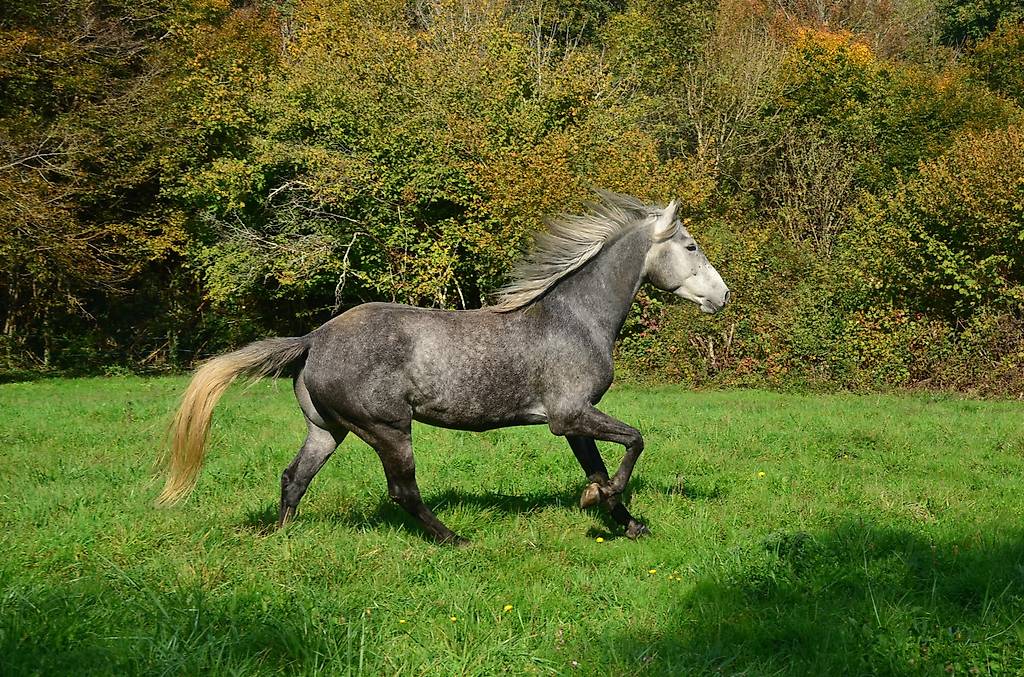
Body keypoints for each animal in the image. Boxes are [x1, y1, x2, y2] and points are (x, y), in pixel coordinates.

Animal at [157, 191, 730, 543]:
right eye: (690, 245)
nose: (723, 296)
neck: (576, 319)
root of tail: (314, 338)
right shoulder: (569, 414)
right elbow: (633, 442)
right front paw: (602, 501)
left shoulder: (572, 421)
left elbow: (599, 464)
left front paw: (624, 521)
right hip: (389, 427)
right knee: (402, 491)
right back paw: (455, 539)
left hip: (327, 429)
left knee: (293, 478)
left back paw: (282, 537)